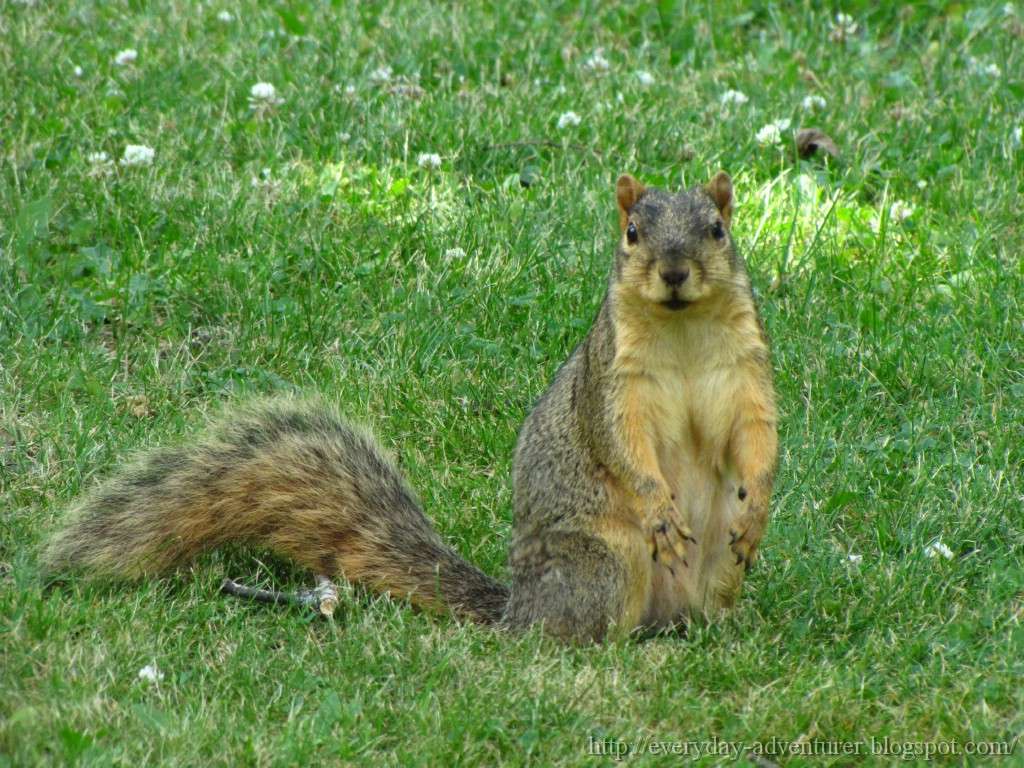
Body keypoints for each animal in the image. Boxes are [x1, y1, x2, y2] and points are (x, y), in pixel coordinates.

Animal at [42, 171, 777, 643]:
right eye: (631, 232)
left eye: (717, 229)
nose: (674, 272)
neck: (682, 332)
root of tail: (518, 611)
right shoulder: (612, 387)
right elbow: (622, 447)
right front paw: (659, 507)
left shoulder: (749, 373)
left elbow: (758, 438)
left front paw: (759, 502)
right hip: (603, 564)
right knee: (574, 637)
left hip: (719, 570)